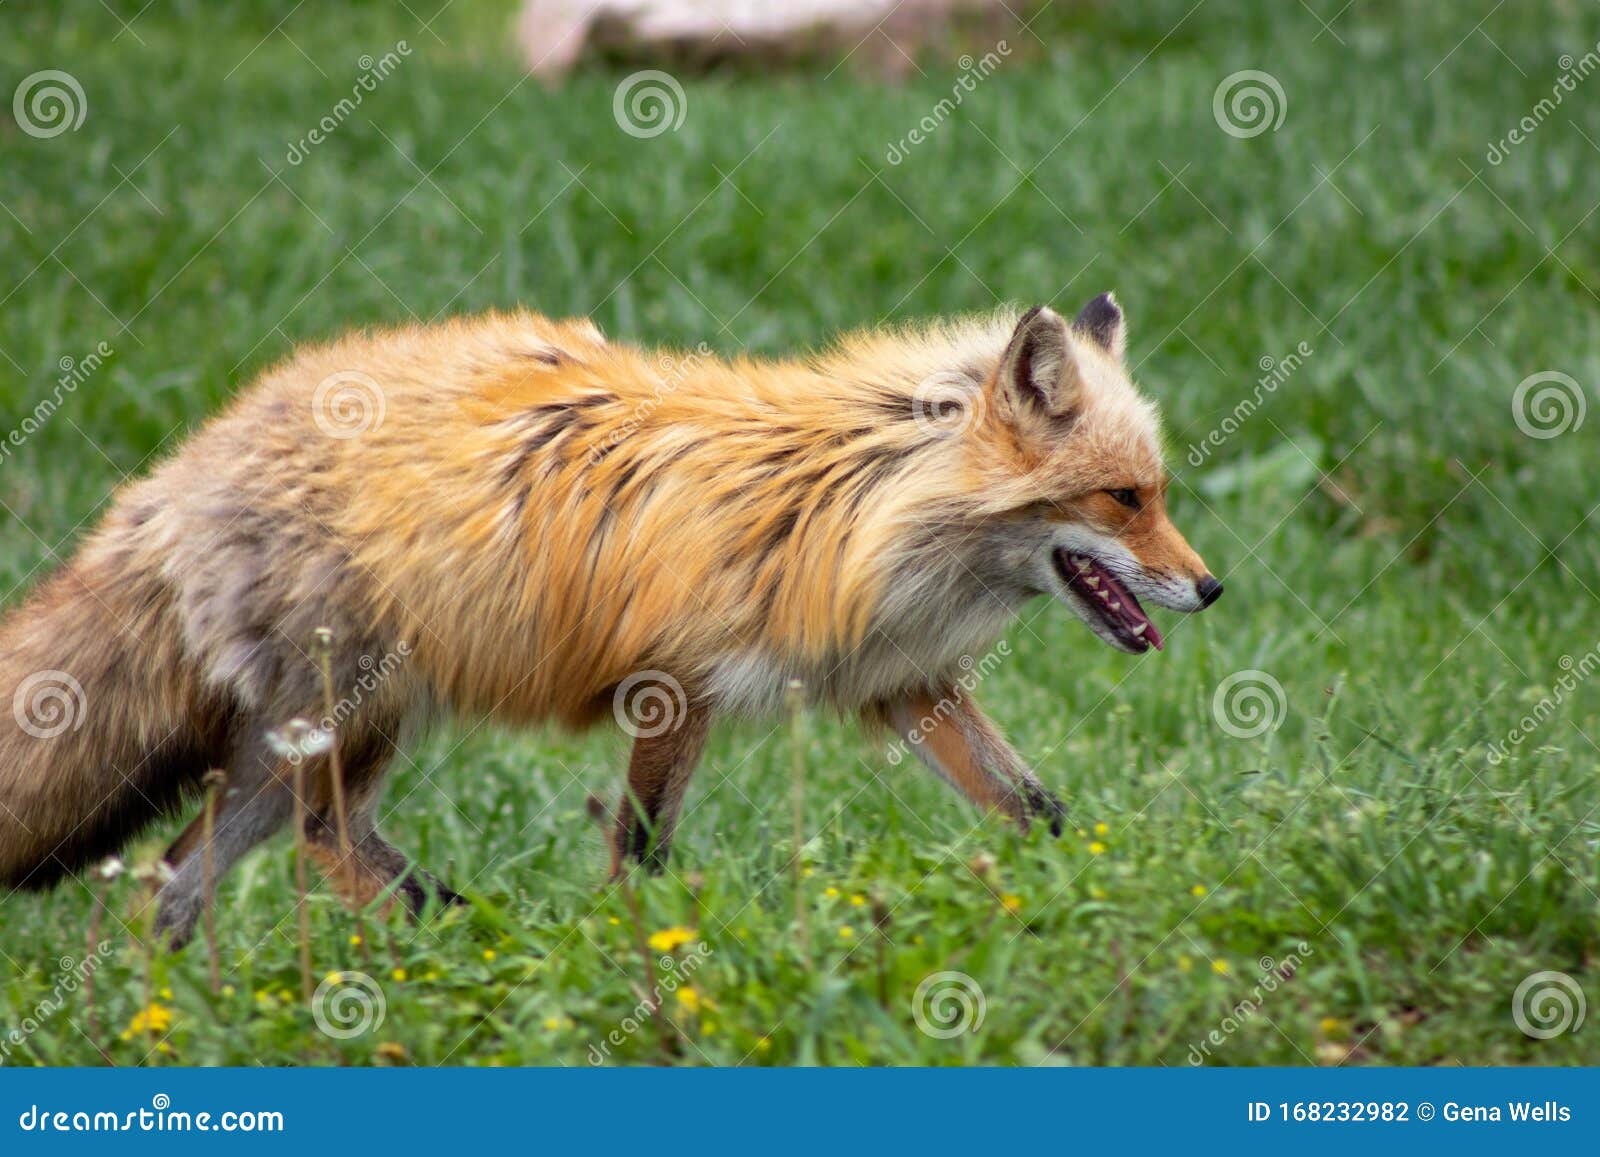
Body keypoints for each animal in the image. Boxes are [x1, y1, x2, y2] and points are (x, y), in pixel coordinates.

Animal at [0, 294, 1219, 945]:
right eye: (1125, 499)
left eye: (1157, 493)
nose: (1210, 589)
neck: (854, 506)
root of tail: (184, 463)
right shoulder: (672, 686)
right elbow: (641, 847)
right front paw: (648, 955)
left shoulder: (902, 684)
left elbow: (1038, 810)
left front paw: (1088, 884)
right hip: (358, 714)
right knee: (316, 840)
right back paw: (457, 927)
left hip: (287, 749)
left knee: (177, 870)